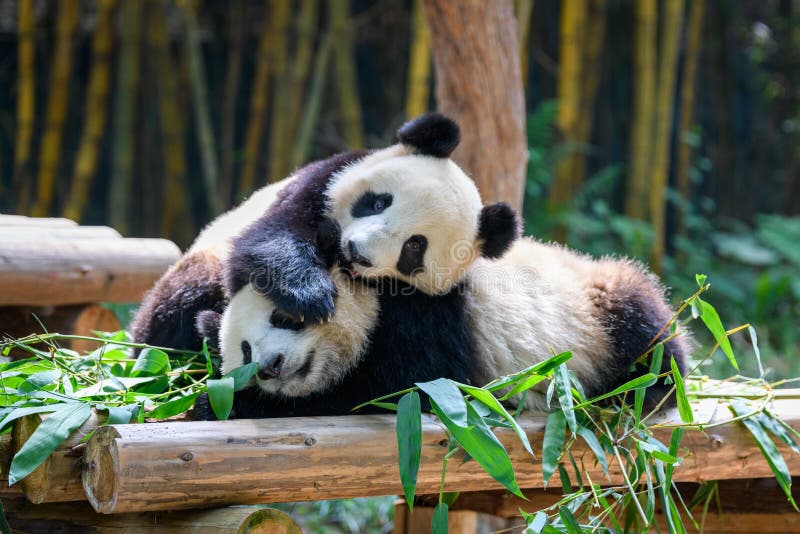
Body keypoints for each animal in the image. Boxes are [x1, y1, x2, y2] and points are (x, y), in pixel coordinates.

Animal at [130, 113, 516, 352]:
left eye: (414, 248)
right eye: (379, 202)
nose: (357, 252)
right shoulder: (321, 182)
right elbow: (269, 241)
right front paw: (310, 298)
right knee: (181, 301)